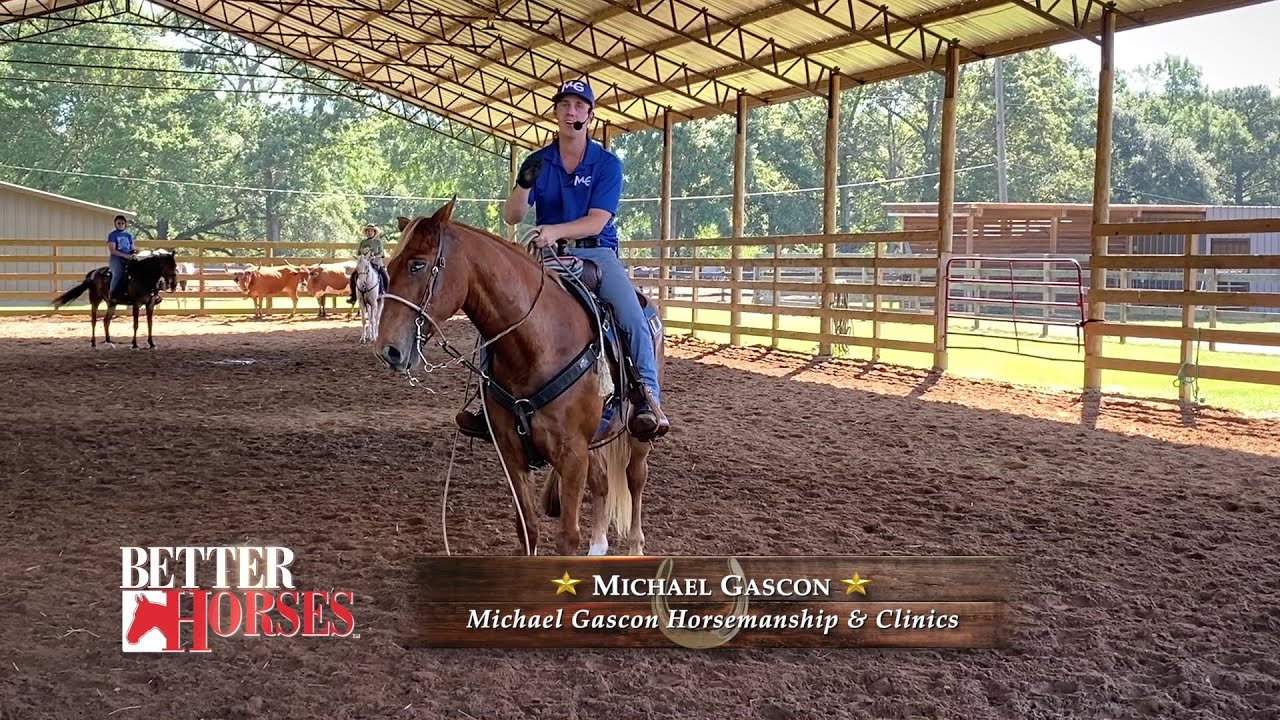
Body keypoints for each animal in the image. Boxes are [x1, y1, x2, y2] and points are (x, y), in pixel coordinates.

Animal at [375, 199, 664, 557]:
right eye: (389, 266)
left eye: (418, 265)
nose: (388, 349)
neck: (537, 343)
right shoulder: (511, 451)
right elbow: (528, 527)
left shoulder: (572, 453)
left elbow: (567, 537)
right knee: (602, 480)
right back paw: (598, 545)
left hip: (637, 435)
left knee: (635, 478)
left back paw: (635, 546)